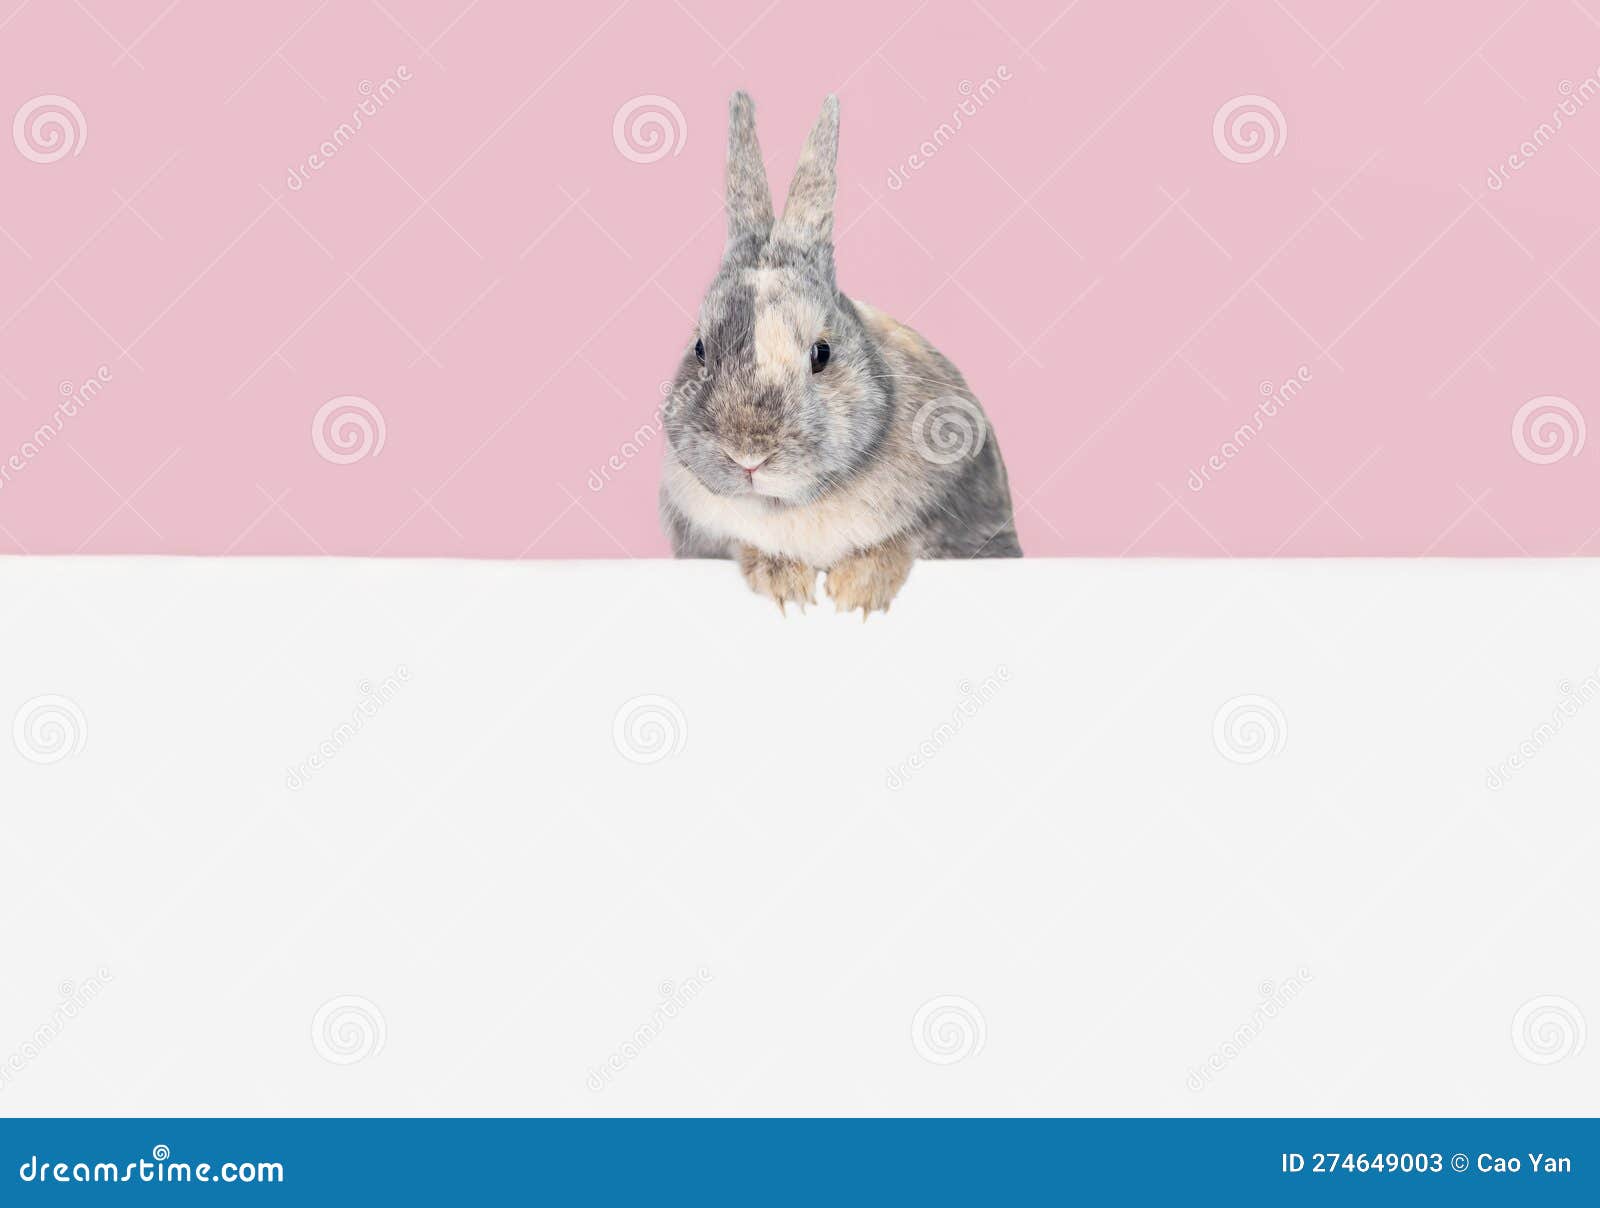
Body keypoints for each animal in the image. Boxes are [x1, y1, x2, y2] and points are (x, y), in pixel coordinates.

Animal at [659, 92, 1021, 616]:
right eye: (700, 348)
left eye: (821, 353)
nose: (749, 455)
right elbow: (743, 545)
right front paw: (782, 581)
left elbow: (903, 541)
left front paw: (857, 590)